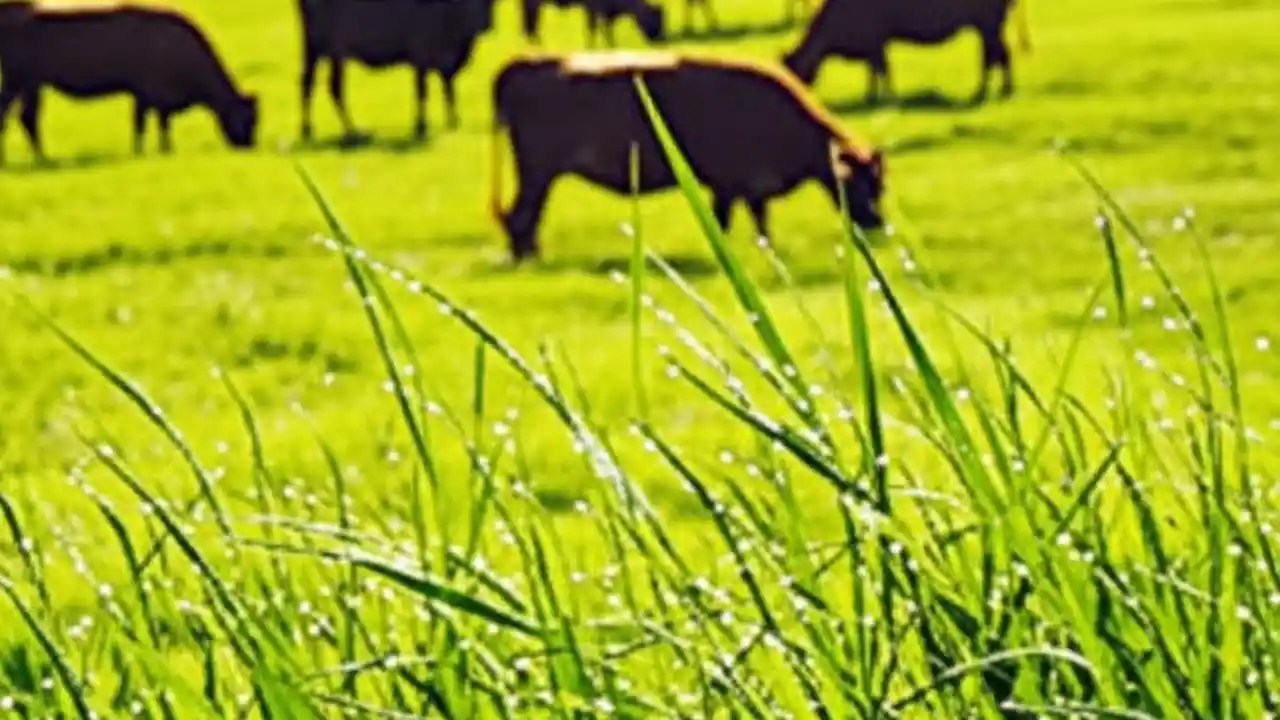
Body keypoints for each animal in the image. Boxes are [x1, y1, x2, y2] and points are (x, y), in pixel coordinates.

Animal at [0, 2, 258, 164]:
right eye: (247, 120)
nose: (249, 148)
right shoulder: (149, 93)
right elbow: (145, 124)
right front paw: (146, 152)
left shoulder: (150, 97)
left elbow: (156, 123)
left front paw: (161, 150)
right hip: (18, 82)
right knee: (14, 116)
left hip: (32, 85)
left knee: (27, 119)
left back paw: (41, 158)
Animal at [297, 0, 496, 143]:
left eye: (492, 1)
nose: (486, 24)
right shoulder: (421, 57)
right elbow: (422, 92)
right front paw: (421, 127)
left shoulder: (443, 63)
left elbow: (449, 90)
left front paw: (453, 123)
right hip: (329, 50)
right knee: (327, 86)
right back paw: (352, 132)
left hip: (325, 53)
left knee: (315, 84)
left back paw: (312, 131)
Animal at [489, 52, 885, 261]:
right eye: (859, 185)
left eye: (879, 186)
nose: (877, 223)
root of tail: (527, 63)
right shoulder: (733, 183)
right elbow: (730, 220)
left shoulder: (743, 187)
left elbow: (757, 221)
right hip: (537, 173)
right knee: (522, 215)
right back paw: (528, 259)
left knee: (525, 216)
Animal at [520, 0, 664, 47]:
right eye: (653, 18)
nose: (660, 40)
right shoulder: (593, 10)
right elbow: (593, 29)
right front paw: (591, 47)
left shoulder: (604, 12)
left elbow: (606, 29)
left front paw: (611, 45)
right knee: (531, 24)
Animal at [782, 0, 1031, 104]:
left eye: (793, 72)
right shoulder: (874, 45)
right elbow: (874, 71)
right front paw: (870, 96)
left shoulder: (876, 41)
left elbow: (882, 70)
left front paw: (888, 98)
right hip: (988, 26)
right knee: (999, 55)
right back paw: (1003, 90)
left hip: (988, 25)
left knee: (993, 57)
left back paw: (984, 92)